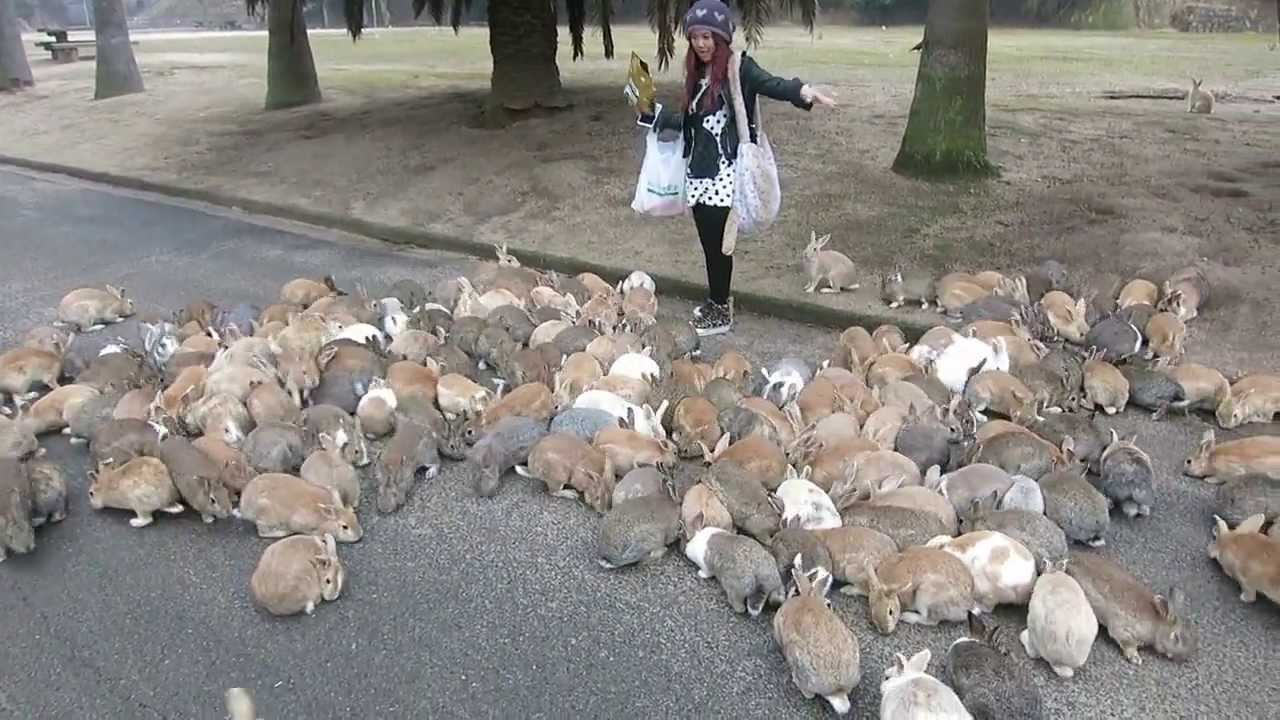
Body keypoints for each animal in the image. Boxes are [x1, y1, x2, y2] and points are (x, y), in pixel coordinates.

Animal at [1065, 551, 1197, 665]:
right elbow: (1126, 642)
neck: (1157, 626)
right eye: (1176, 637)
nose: (1185, 657)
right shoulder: (1122, 628)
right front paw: (1135, 658)